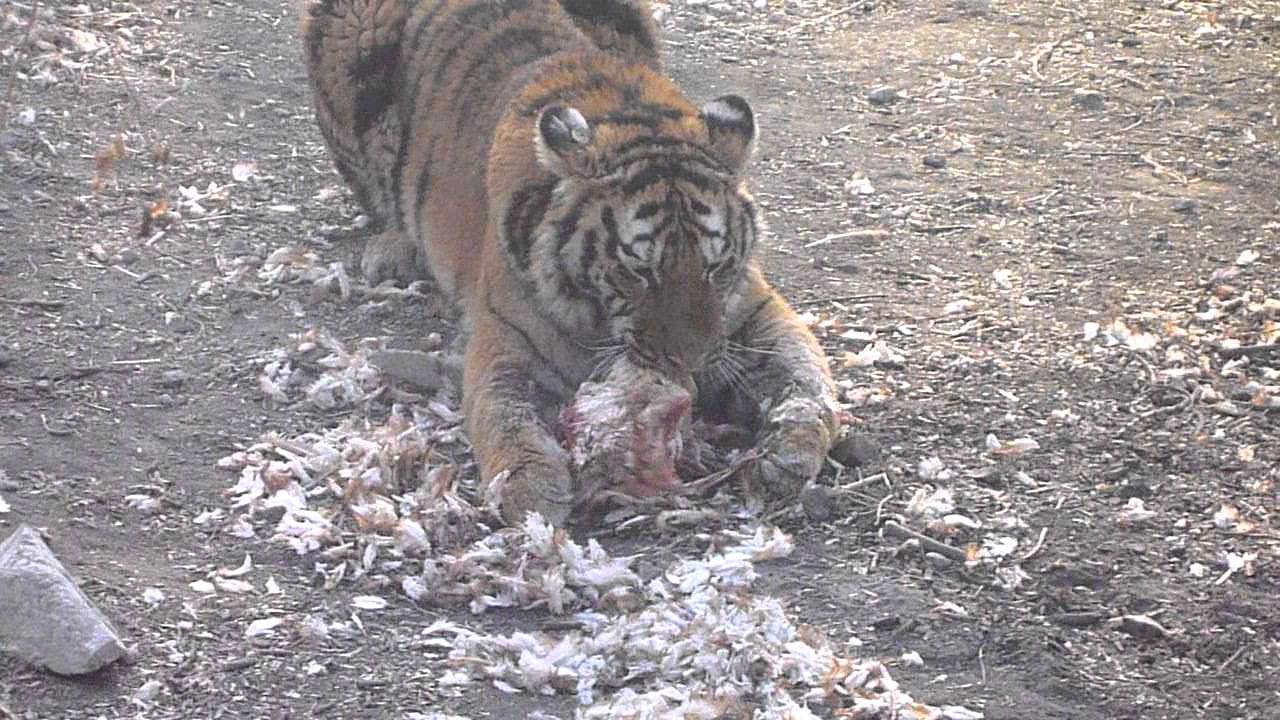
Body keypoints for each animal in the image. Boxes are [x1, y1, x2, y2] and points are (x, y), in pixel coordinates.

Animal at [302, 0, 841, 526]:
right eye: (638, 271)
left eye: (716, 267)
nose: (689, 363)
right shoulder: (507, 344)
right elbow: (506, 415)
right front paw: (531, 489)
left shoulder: (753, 312)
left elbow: (805, 375)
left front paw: (792, 446)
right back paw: (393, 251)